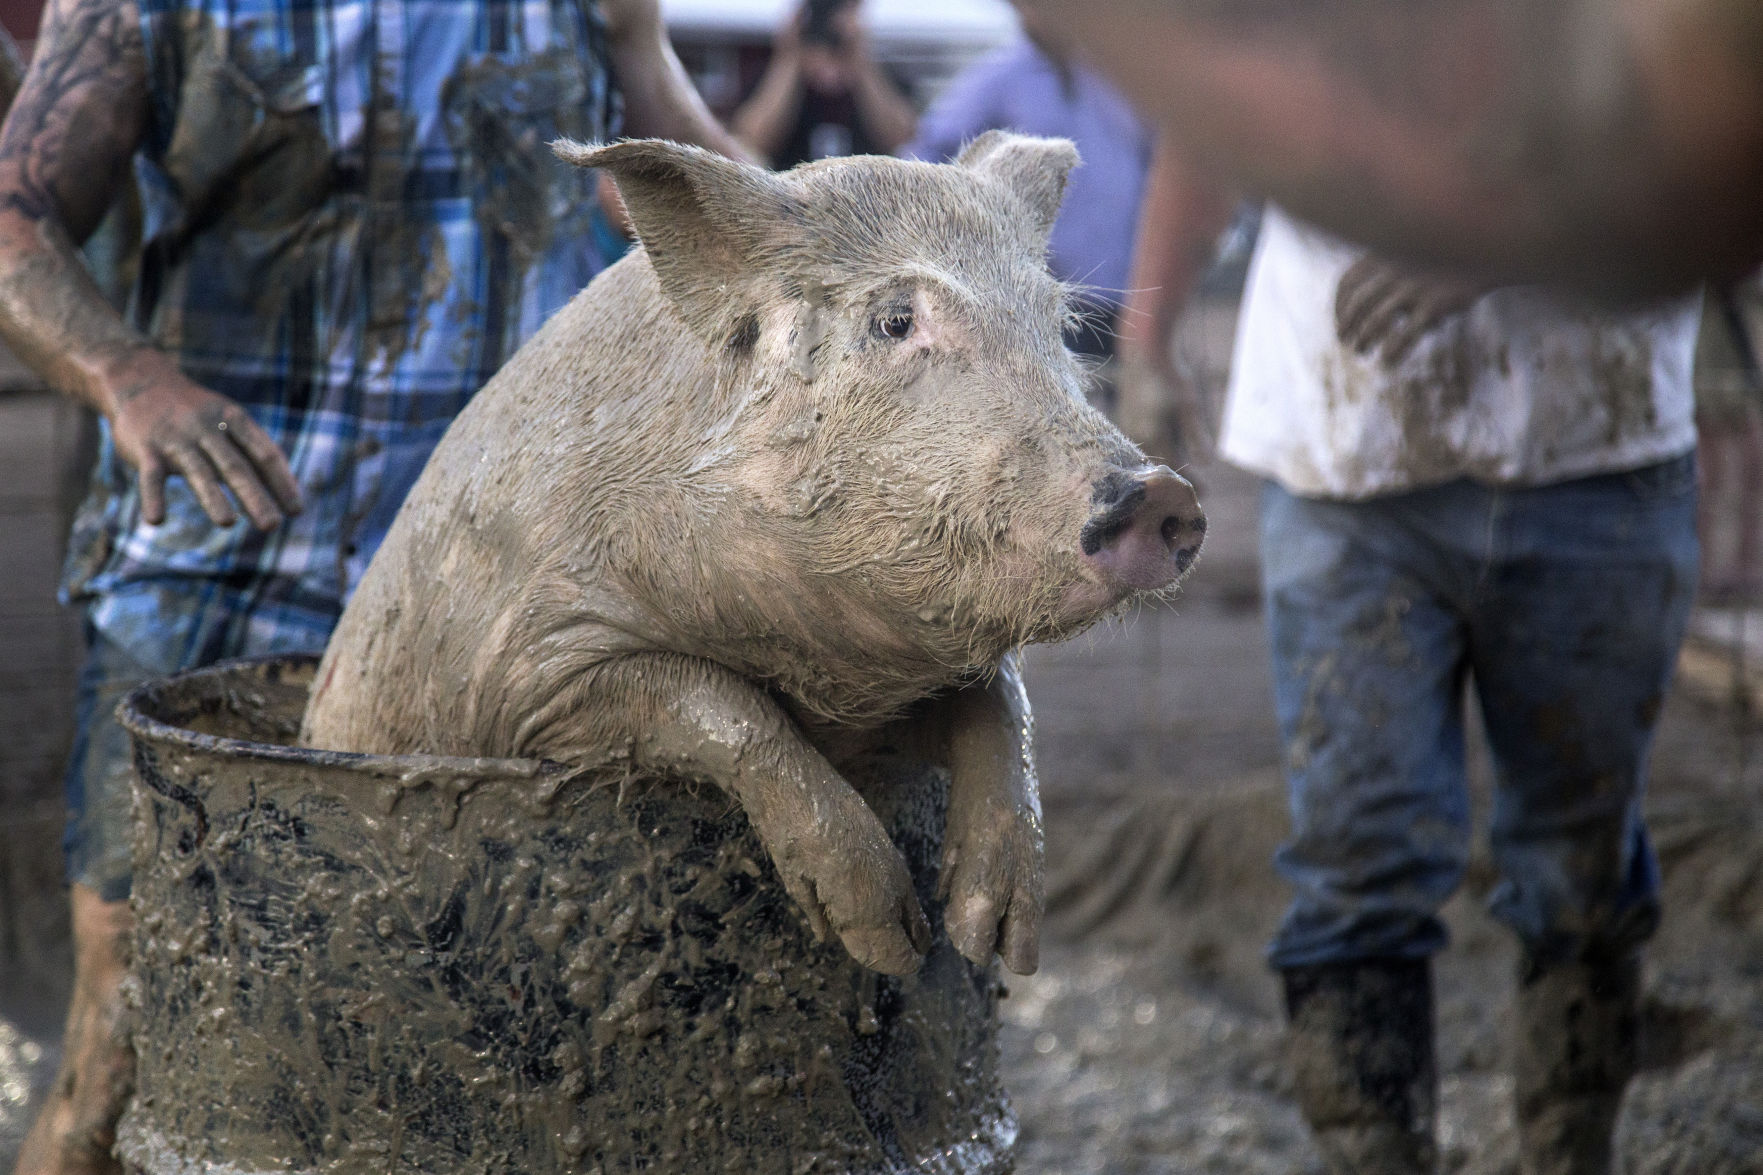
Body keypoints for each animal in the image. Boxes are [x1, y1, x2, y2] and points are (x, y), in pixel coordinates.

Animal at [300, 133, 1205, 978]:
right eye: (894, 320)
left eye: (1057, 322)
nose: (1158, 490)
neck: (827, 666)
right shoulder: (531, 667)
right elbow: (721, 703)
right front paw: (890, 944)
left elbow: (998, 703)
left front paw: (986, 943)